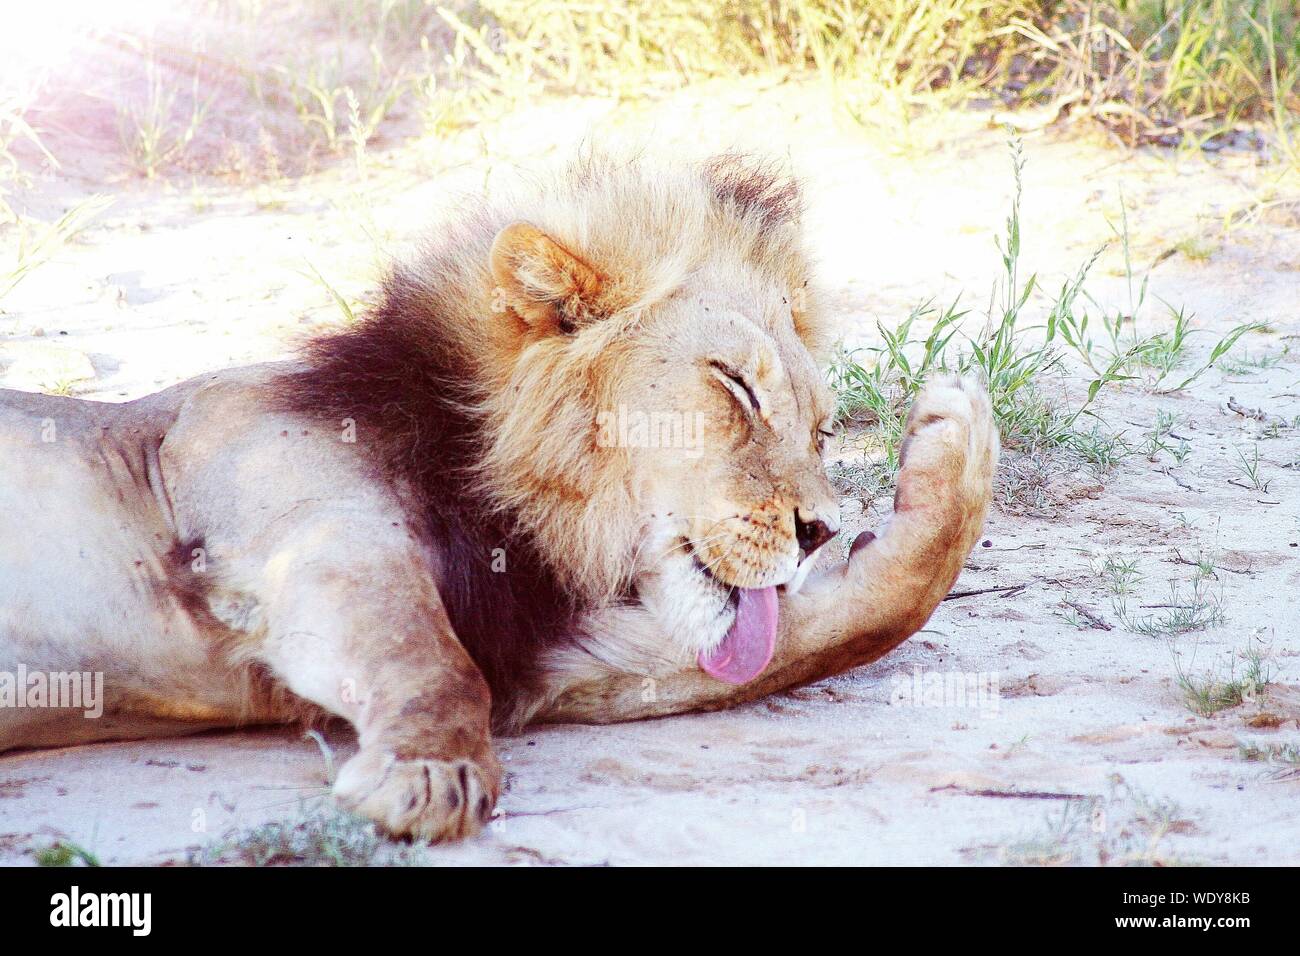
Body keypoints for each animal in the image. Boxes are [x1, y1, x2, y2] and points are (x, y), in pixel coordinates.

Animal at [0, 153, 997, 841]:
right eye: (736, 388)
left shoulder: (551, 664)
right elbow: (431, 660)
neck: (505, 499)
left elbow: (839, 631)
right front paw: (428, 777)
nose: (821, 529)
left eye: (823, 430)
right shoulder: (289, 523)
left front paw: (961, 444)